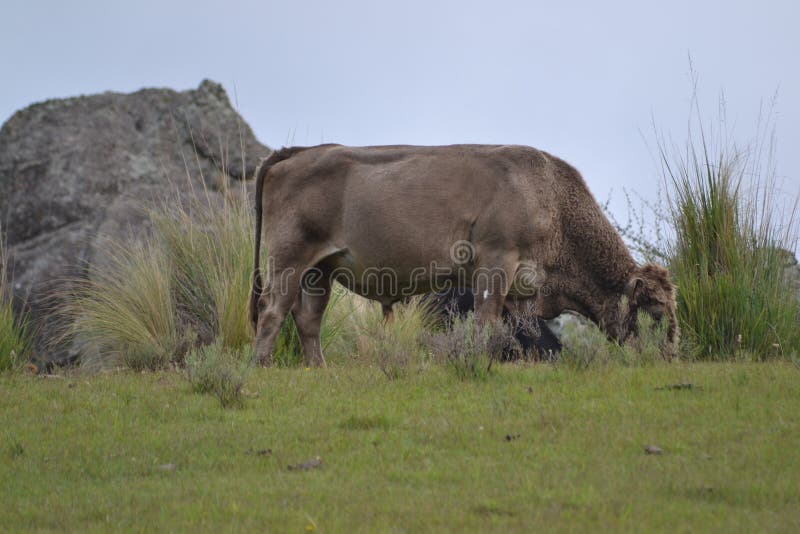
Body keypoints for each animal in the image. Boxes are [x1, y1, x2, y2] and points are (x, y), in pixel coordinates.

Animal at [249, 144, 678, 366]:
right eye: (656, 308)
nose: (671, 354)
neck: (550, 199)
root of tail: (295, 154)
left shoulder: (518, 291)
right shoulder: (496, 263)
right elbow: (486, 322)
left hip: (319, 270)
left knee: (308, 319)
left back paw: (320, 370)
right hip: (288, 262)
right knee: (272, 312)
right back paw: (260, 367)